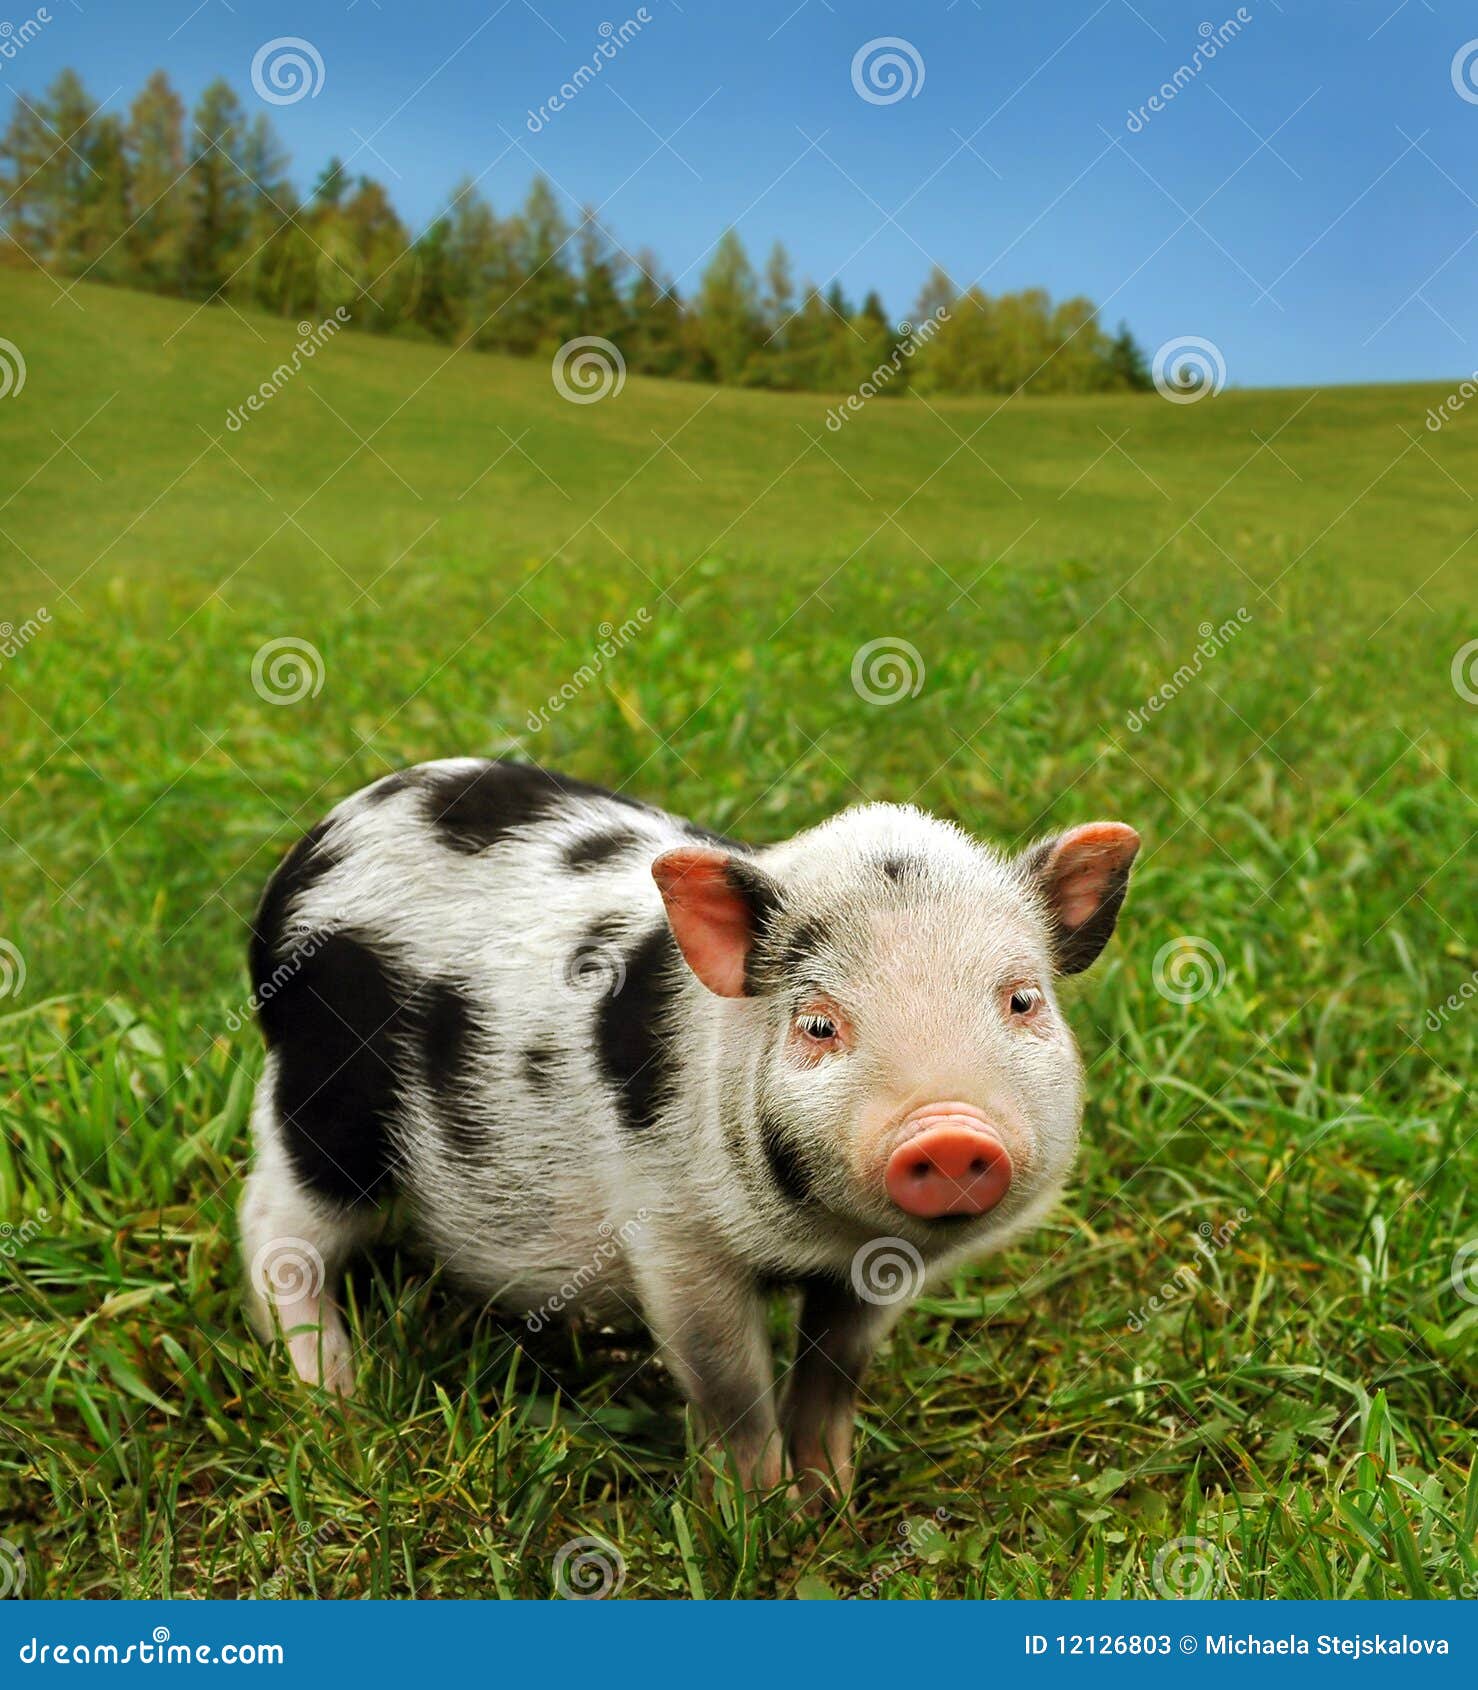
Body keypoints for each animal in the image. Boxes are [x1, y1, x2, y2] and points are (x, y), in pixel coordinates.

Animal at [239, 757, 1139, 1497]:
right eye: (819, 1024)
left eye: (1022, 1000)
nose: (949, 1132)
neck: (824, 1237)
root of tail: (304, 860)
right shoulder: (675, 1236)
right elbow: (727, 1382)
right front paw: (756, 1518)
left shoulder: (879, 1271)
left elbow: (836, 1370)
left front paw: (832, 1501)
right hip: (322, 1098)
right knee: (273, 1228)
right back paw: (337, 1402)